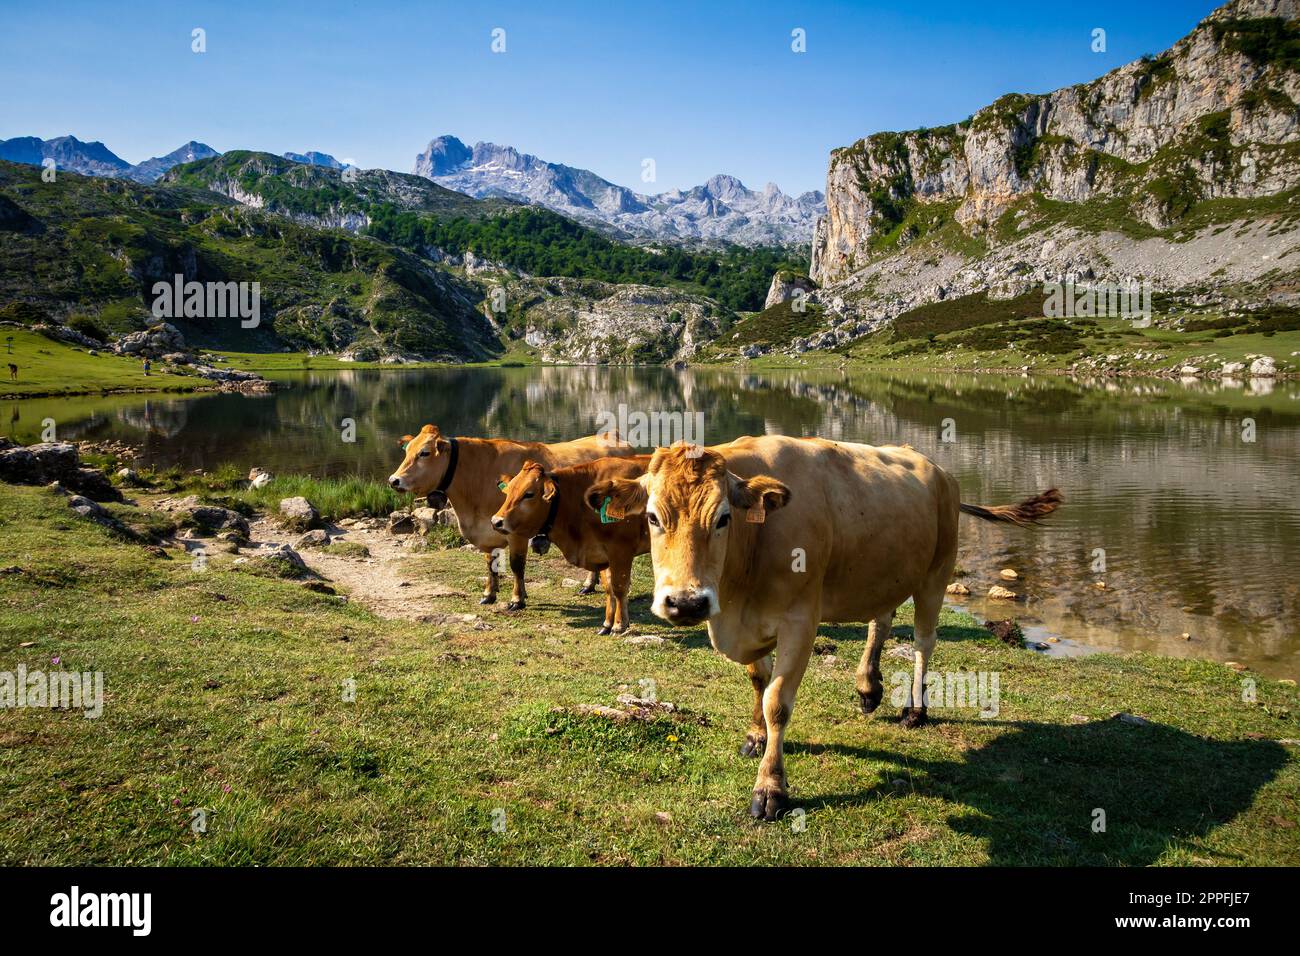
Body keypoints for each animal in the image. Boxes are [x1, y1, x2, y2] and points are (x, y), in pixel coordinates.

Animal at [388, 425, 634, 609]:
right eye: (407, 451)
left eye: (424, 453)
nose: (393, 480)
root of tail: (614, 437)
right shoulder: (488, 529)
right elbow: (491, 564)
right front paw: (489, 594)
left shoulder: (515, 531)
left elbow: (517, 565)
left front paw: (517, 599)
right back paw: (588, 585)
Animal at [492, 455, 652, 634]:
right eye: (509, 490)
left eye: (529, 494)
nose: (496, 521)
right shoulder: (603, 553)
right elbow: (609, 587)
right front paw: (607, 624)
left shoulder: (621, 550)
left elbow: (619, 587)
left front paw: (619, 624)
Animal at [587, 435, 1060, 820]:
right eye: (652, 518)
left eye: (723, 518)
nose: (686, 602)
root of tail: (937, 468)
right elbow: (757, 680)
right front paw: (755, 735)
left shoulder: (800, 620)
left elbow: (777, 702)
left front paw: (770, 790)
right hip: (882, 573)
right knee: (880, 620)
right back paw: (868, 686)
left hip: (936, 573)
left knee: (924, 641)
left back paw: (915, 709)